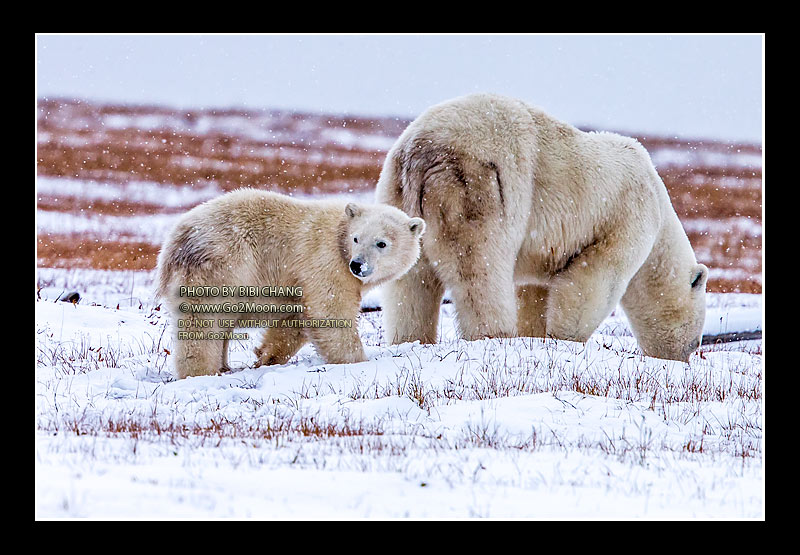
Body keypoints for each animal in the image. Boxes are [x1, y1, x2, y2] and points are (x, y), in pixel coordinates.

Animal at [156, 188, 426, 378]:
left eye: (381, 243)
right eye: (357, 238)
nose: (357, 265)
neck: (340, 238)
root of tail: (172, 244)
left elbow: (294, 322)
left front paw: (266, 357)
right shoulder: (326, 261)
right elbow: (330, 313)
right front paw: (357, 361)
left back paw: (224, 367)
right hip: (223, 266)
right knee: (204, 322)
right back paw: (201, 371)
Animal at [375, 93, 708, 362]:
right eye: (696, 339)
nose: (682, 360)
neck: (659, 203)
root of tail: (424, 151)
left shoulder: (544, 251)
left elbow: (534, 293)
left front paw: (534, 335)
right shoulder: (626, 218)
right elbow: (594, 280)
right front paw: (566, 341)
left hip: (397, 194)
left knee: (409, 281)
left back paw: (410, 340)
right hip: (479, 184)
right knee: (479, 267)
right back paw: (494, 335)